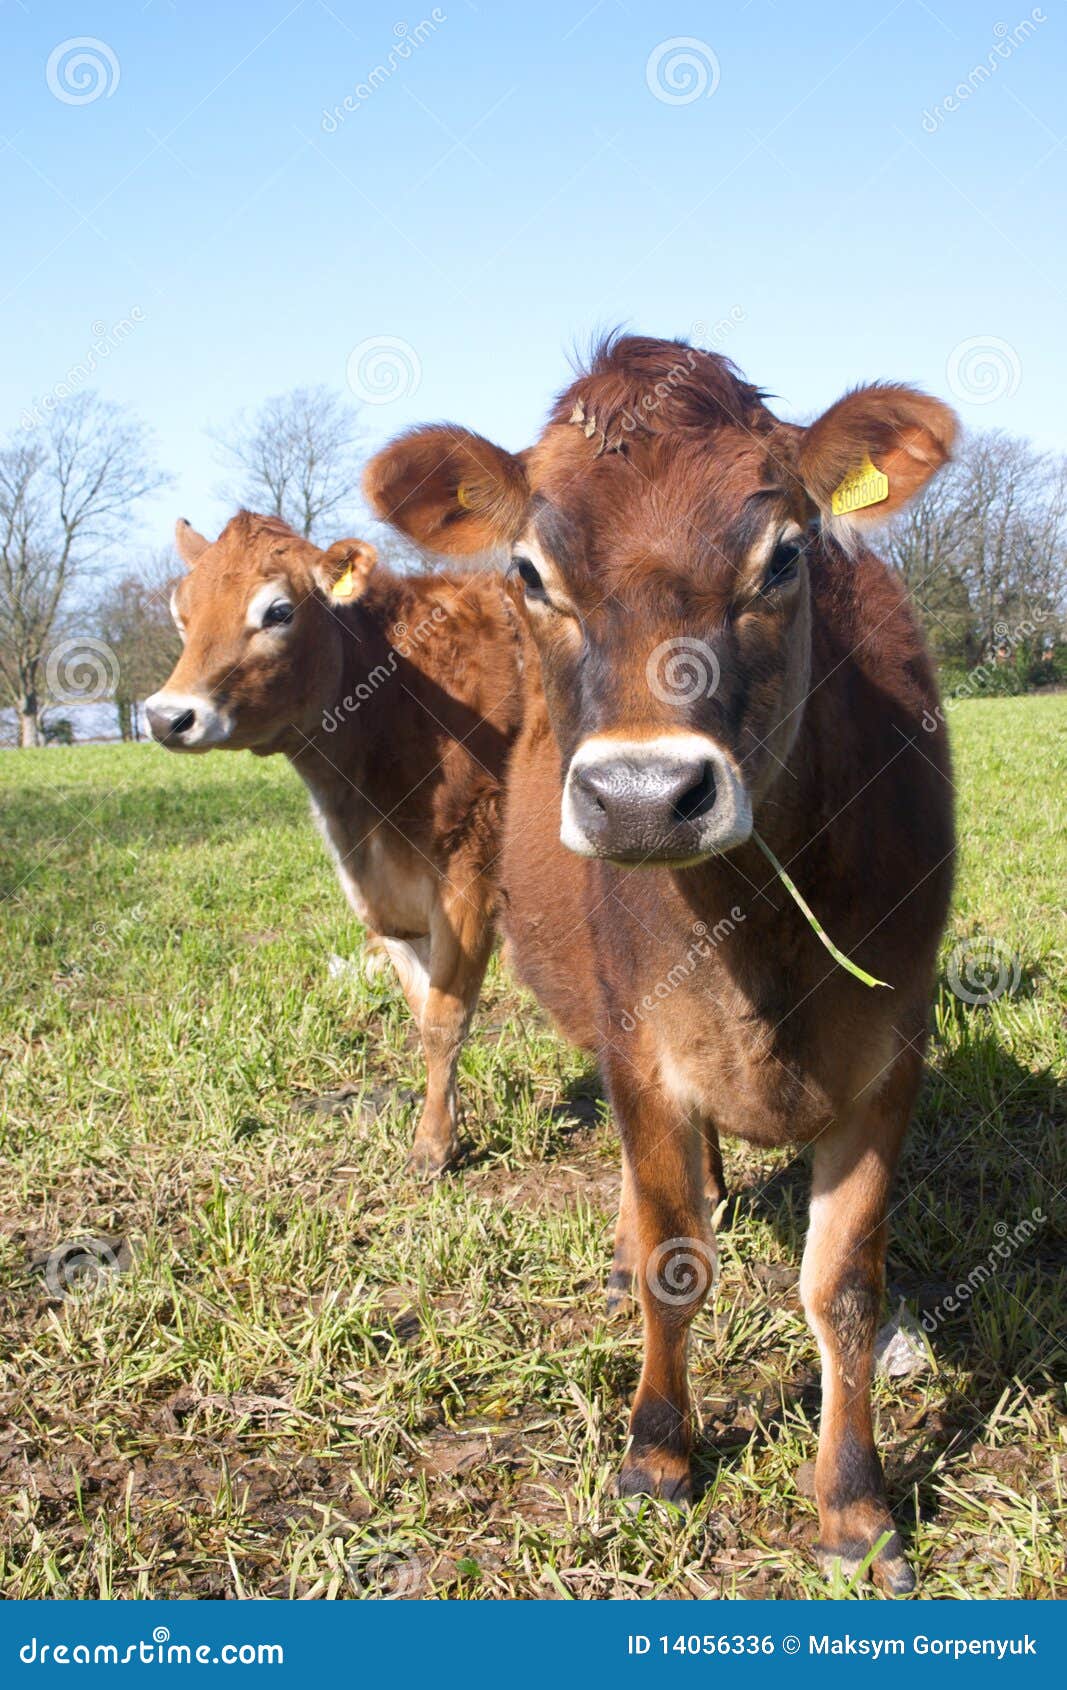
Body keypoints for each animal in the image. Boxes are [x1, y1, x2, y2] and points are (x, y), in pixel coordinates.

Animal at [145, 510, 523, 1178]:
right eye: (181, 612)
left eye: (278, 612)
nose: (167, 717)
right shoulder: (388, 901)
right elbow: (422, 1011)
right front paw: (446, 1128)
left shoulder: (471, 872)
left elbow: (446, 1019)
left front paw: (430, 1149)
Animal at [365, 334, 958, 1592]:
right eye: (531, 572)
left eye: (782, 557)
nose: (642, 796)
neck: (757, 931)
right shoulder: (639, 1052)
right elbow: (670, 1257)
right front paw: (656, 1451)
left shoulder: (890, 1053)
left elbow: (842, 1285)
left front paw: (852, 1503)